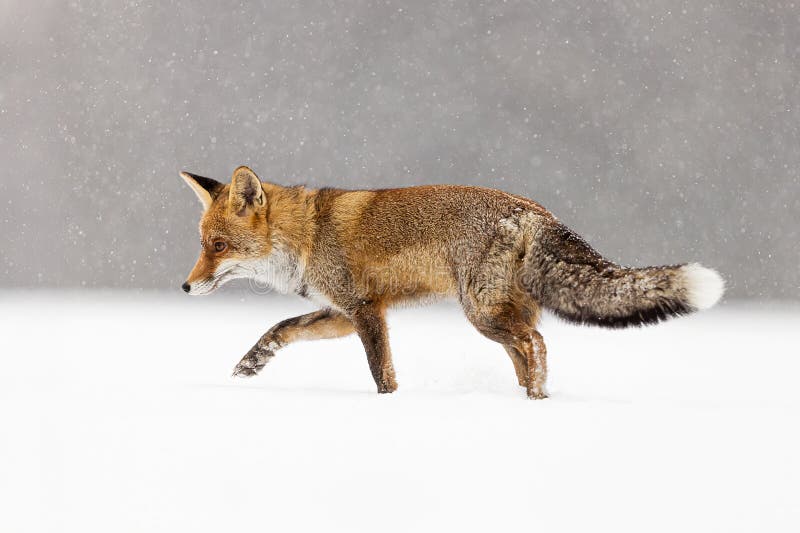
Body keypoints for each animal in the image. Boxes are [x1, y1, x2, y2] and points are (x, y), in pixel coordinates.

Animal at [181, 166, 724, 399]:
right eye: (202, 243)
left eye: (218, 246)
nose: (185, 288)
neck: (310, 234)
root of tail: (536, 211)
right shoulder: (342, 312)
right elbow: (280, 329)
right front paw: (247, 368)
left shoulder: (365, 310)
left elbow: (381, 373)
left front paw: (389, 406)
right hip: (496, 317)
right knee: (527, 351)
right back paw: (533, 400)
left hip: (482, 314)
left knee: (536, 342)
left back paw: (537, 400)